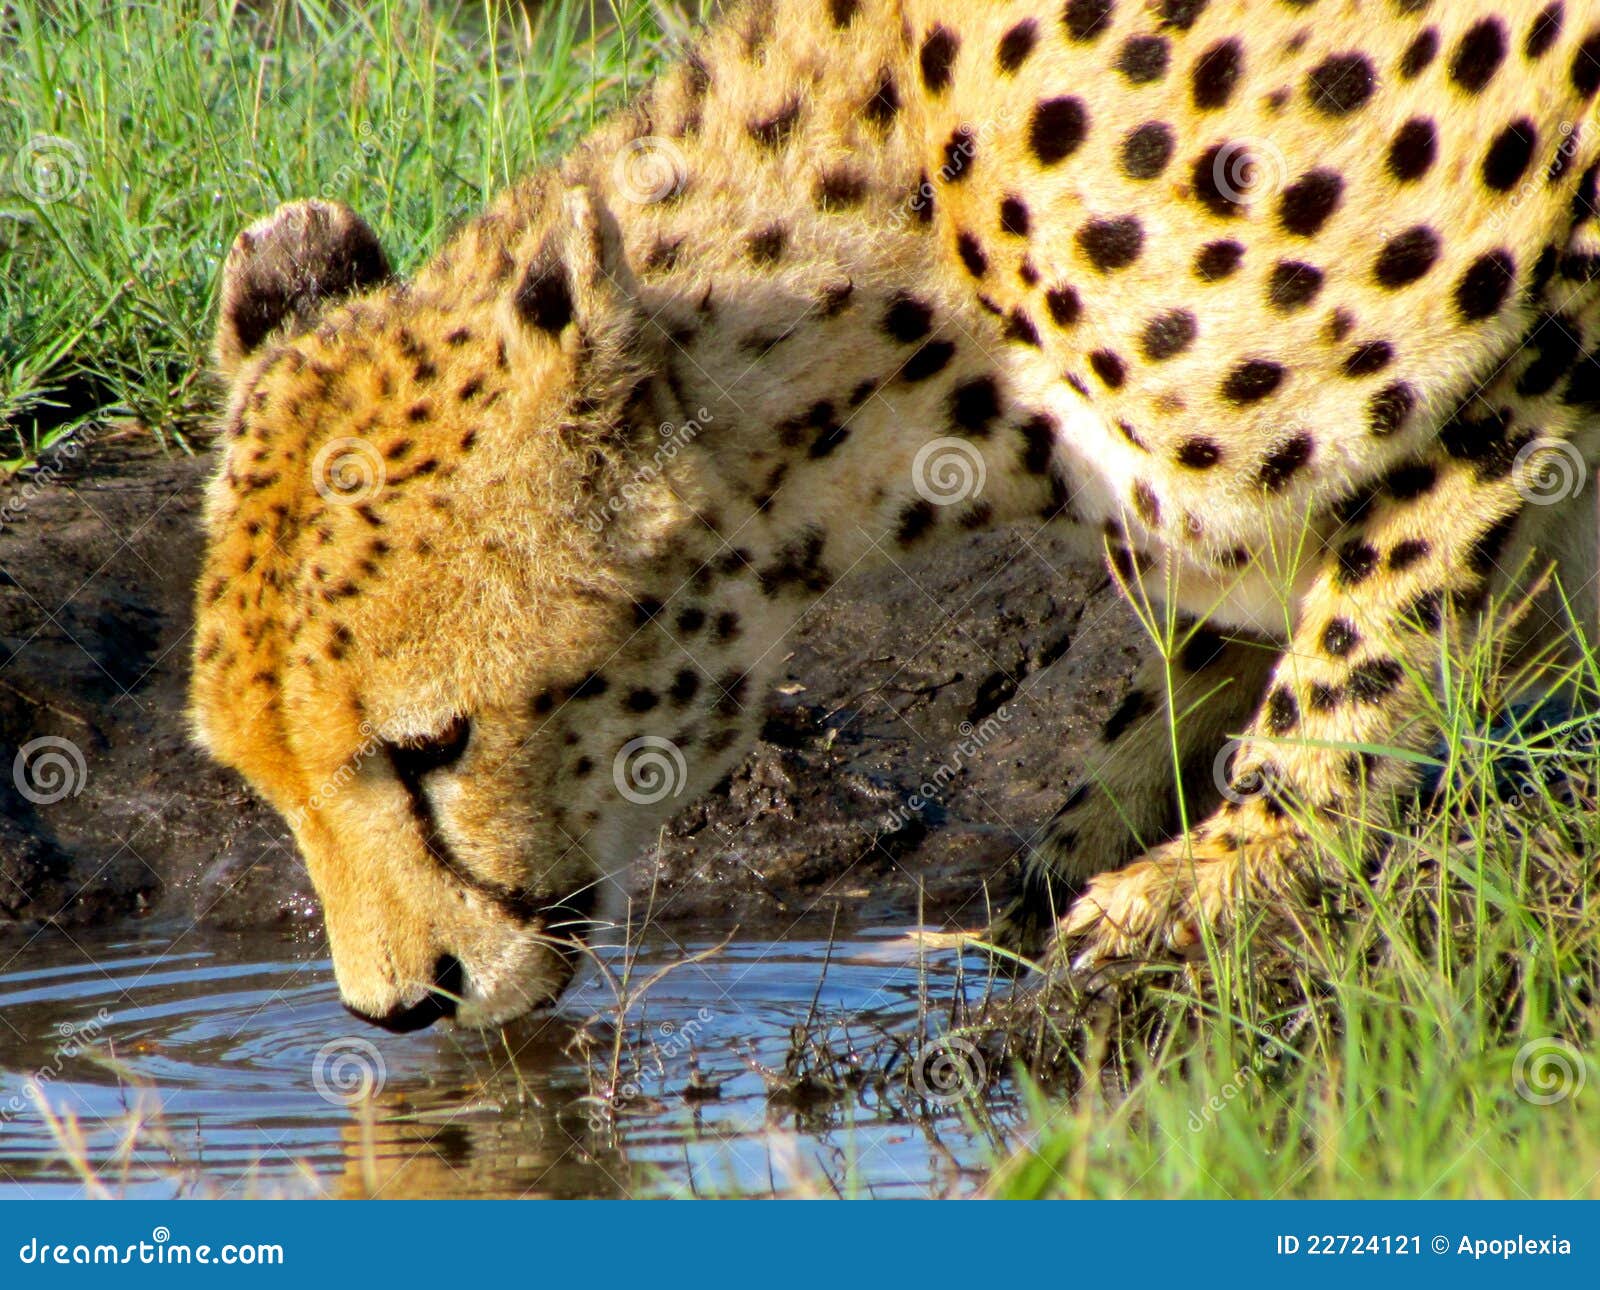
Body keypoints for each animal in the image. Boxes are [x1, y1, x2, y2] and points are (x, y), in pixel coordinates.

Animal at [192, 0, 1600, 1031]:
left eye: (433, 746)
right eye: (263, 783)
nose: (393, 1010)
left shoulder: (1543, 279)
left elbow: (1373, 624)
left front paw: (1225, 872)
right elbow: (1209, 641)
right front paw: (1064, 868)